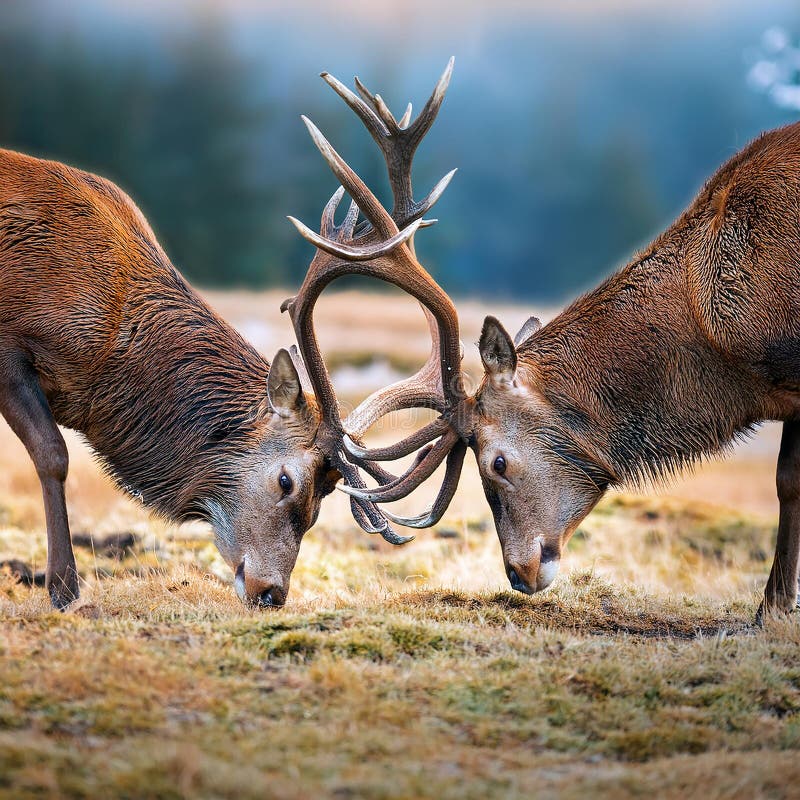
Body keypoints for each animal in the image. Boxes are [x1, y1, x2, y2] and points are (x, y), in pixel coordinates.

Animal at [291, 60, 800, 622]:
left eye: (496, 461)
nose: (519, 573)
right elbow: (789, 484)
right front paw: (776, 609)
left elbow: (787, 483)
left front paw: (771, 609)